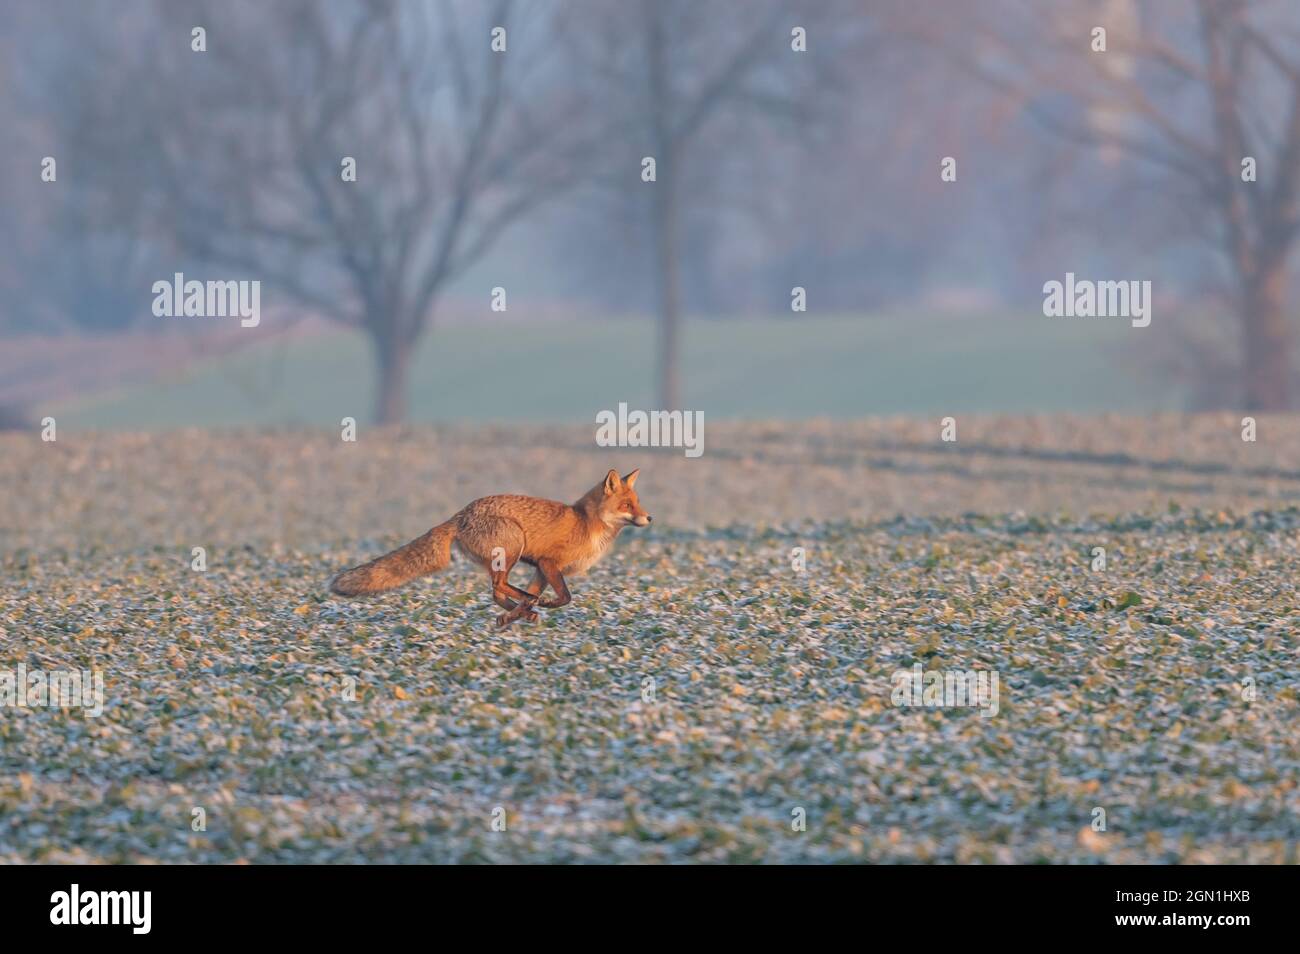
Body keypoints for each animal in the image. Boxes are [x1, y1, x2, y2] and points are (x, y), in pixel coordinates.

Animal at [329, 469, 651, 627]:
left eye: (638, 503)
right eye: (627, 505)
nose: (649, 518)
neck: (587, 523)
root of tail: (459, 514)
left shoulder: (541, 570)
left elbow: (534, 597)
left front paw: (513, 617)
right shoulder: (549, 563)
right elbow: (565, 597)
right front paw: (536, 607)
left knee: (498, 591)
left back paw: (521, 610)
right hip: (512, 545)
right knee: (499, 586)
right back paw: (527, 604)